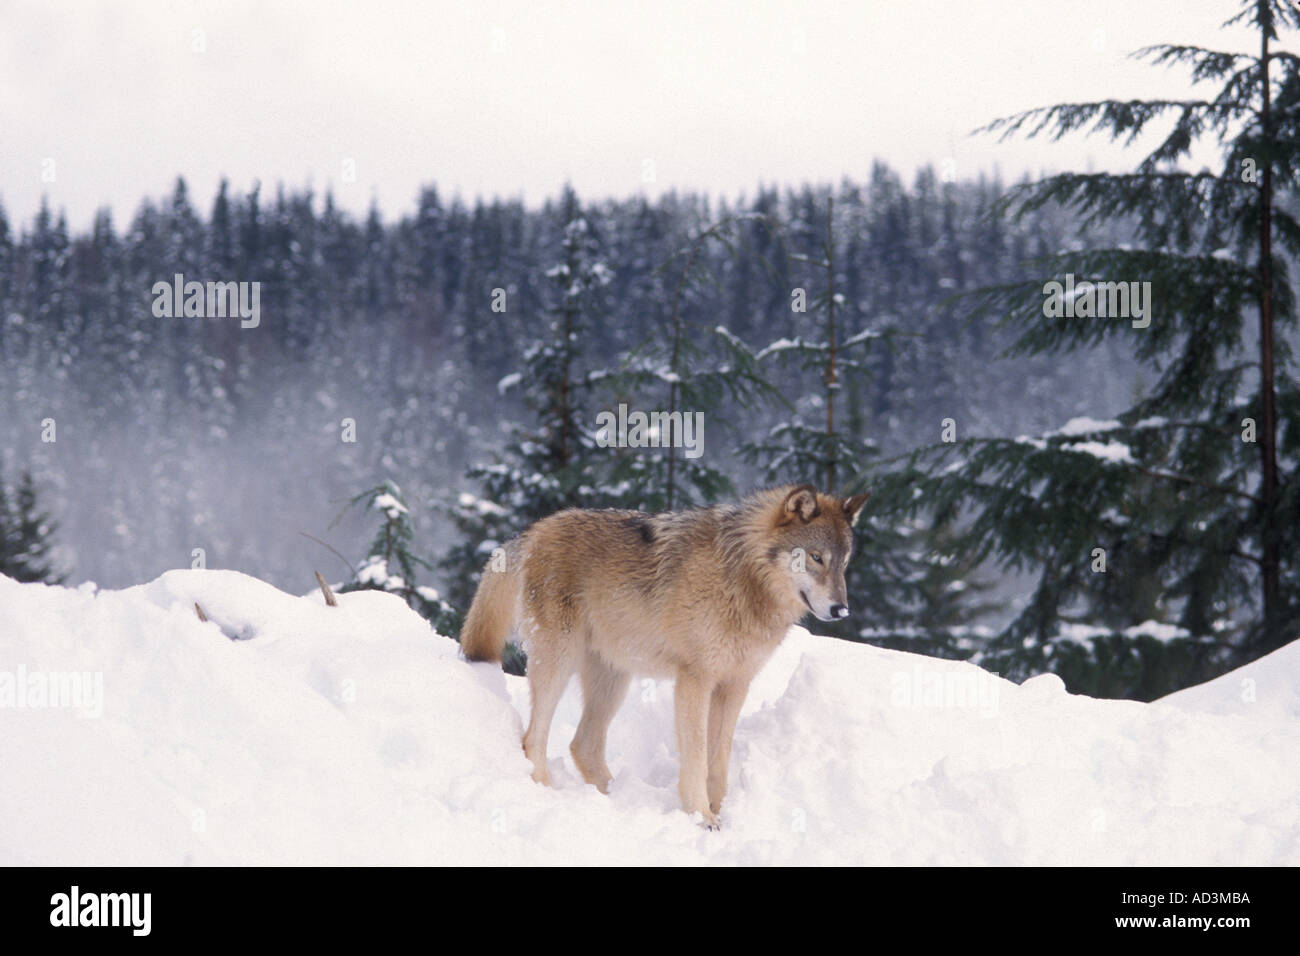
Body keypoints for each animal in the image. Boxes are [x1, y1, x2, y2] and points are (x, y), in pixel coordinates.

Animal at [459, 483, 869, 828]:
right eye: (816, 557)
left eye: (844, 563)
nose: (841, 610)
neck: (740, 577)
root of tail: (534, 529)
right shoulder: (694, 680)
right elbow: (696, 756)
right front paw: (701, 817)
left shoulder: (735, 685)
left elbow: (719, 760)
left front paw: (720, 813)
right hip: (559, 661)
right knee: (533, 738)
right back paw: (547, 790)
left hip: (614, 679)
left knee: (583, 745)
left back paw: (619, 798)